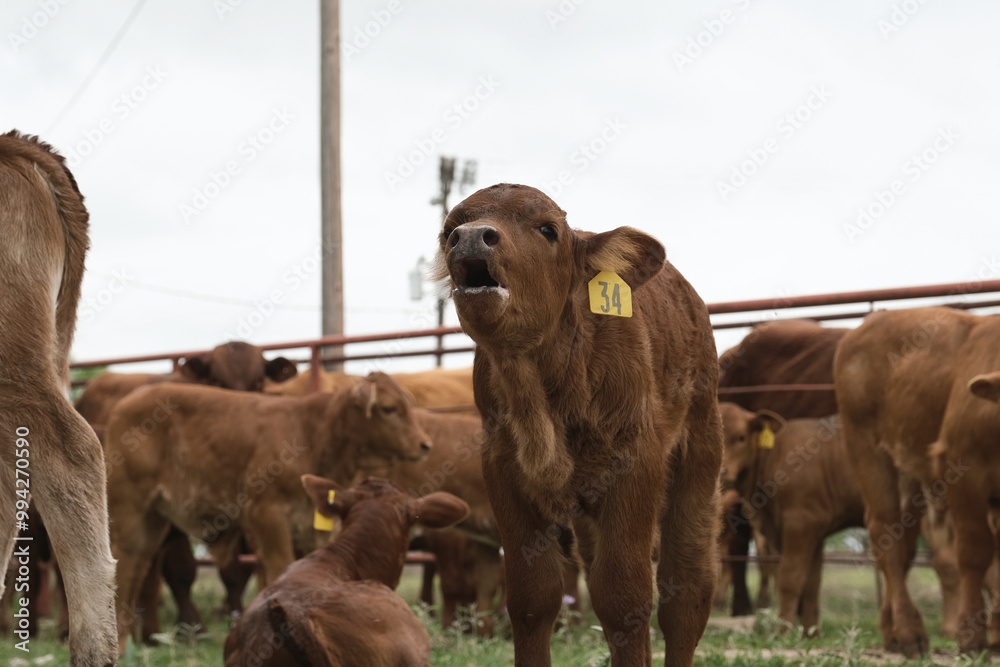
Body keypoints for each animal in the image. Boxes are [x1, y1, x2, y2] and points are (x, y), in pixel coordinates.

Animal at [104, 371, 431, 652]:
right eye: (389, 409)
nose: (425, 444)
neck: (313, 436)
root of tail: (125, 404)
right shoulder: (268, 515)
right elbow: (280, 567)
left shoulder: (312, 529)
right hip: (131, 509)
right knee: (125, 564)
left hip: (153, 520)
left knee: (139, 566)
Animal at [437, 183, 722, 666]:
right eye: (448, 231)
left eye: (547, 229)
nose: (472, 237)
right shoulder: (504, 473)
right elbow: (533, 599)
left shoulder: (634, 465)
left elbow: (625, 597)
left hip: (699, 459)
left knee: (686, 593)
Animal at [719, 402, 866, 634]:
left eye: (741, 437)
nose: (721, 471)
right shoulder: (816, 531)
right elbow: (812, 583)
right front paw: (811, 634)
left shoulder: (801, 521)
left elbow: (790, 578)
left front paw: (783, 631)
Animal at [834, 307, 1000, 655]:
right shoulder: (964, 469)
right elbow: (975, 551)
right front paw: (971, 636)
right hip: (868, 452)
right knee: (885, 532)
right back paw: (910, 633)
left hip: (909, 475)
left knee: (900, 542)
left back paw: (892, 631)